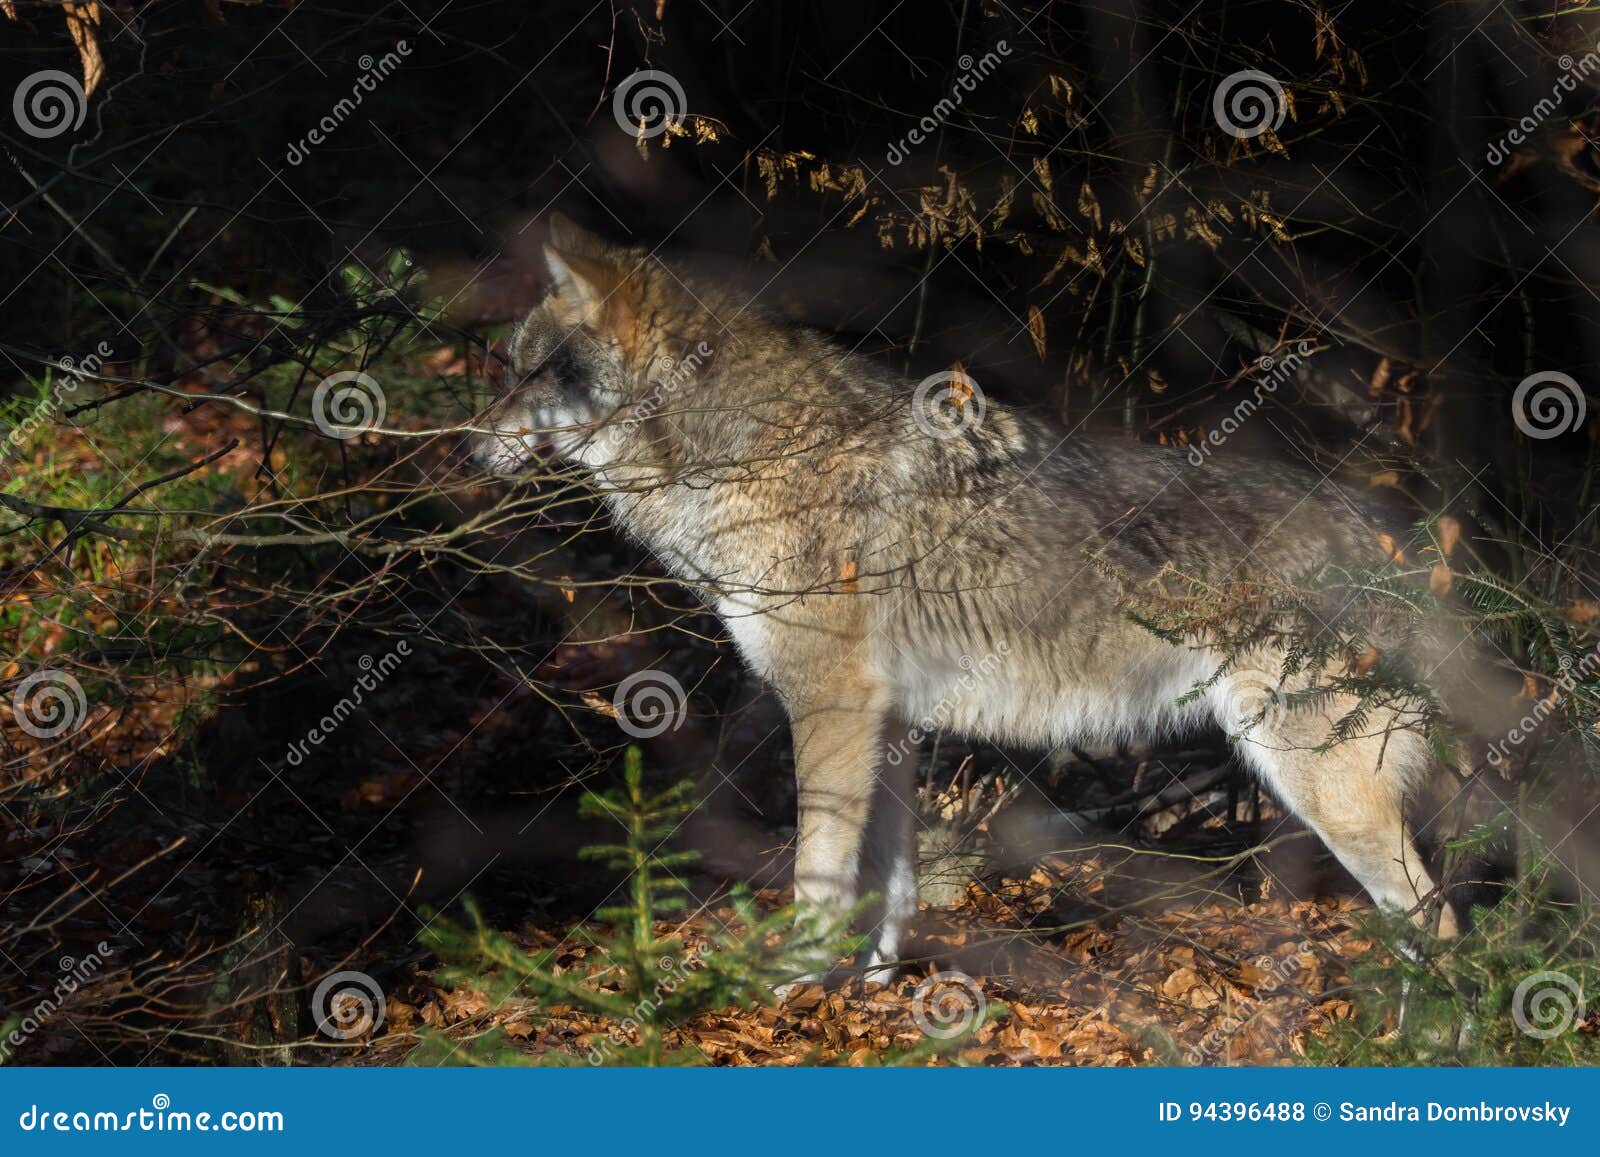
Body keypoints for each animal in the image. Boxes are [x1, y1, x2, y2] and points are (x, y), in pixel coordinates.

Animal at [472, 215, 1462, 976]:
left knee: (1439, 919)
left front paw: (787, 991)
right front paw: (873, 996)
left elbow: (819, 879)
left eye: (523, 373)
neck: (746, 452)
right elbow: (893, 884)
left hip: (1317, 779)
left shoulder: (830, 704)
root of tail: (1390, 543)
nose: (469, 448)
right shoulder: (893, 721)